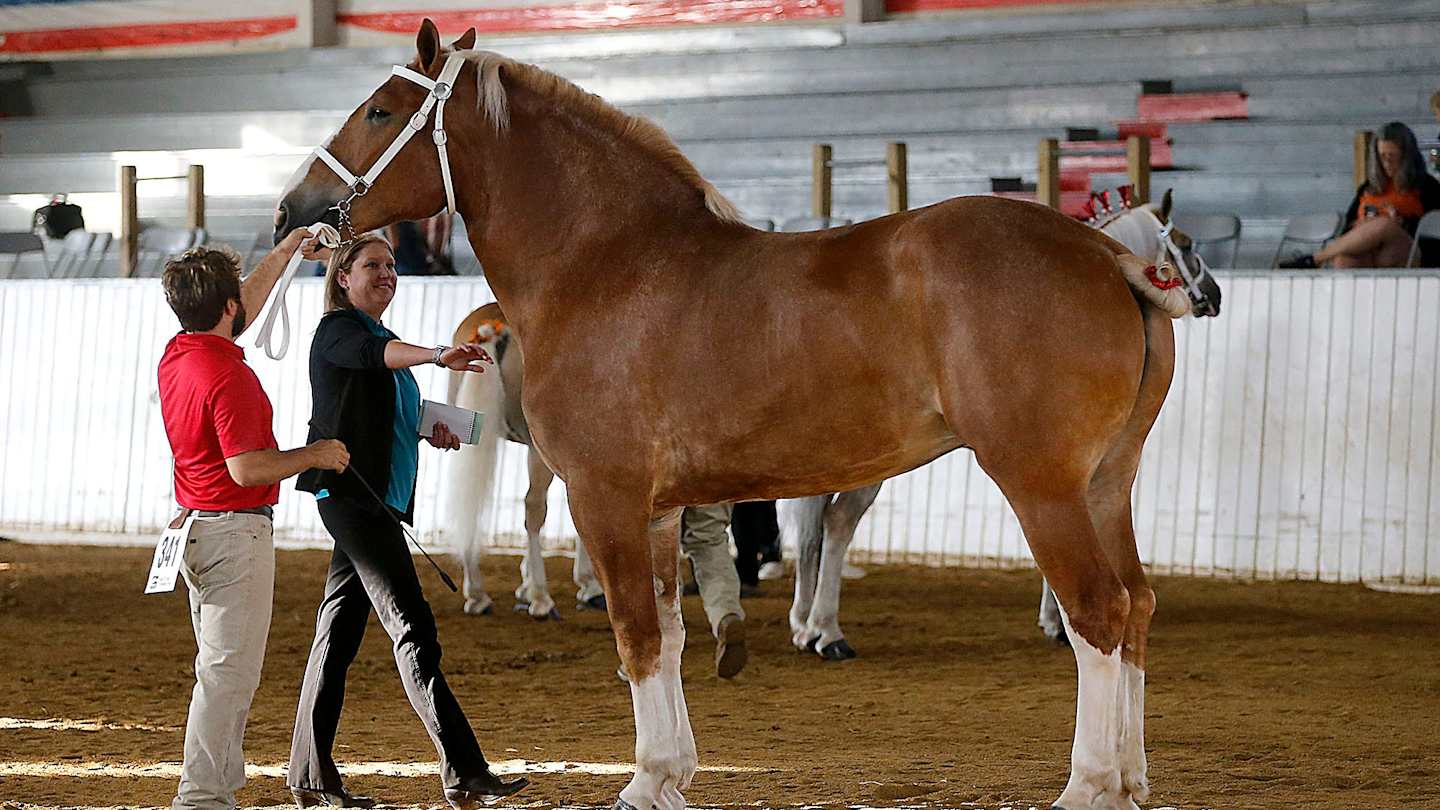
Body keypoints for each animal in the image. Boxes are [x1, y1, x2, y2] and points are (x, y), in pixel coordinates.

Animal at [782, 192, 1223, 658]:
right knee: (836, 524)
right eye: (1187, 244)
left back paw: (811, 627)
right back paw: (823, 630)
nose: (1214, 296)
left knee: (827, 525)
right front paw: (1057, 624)